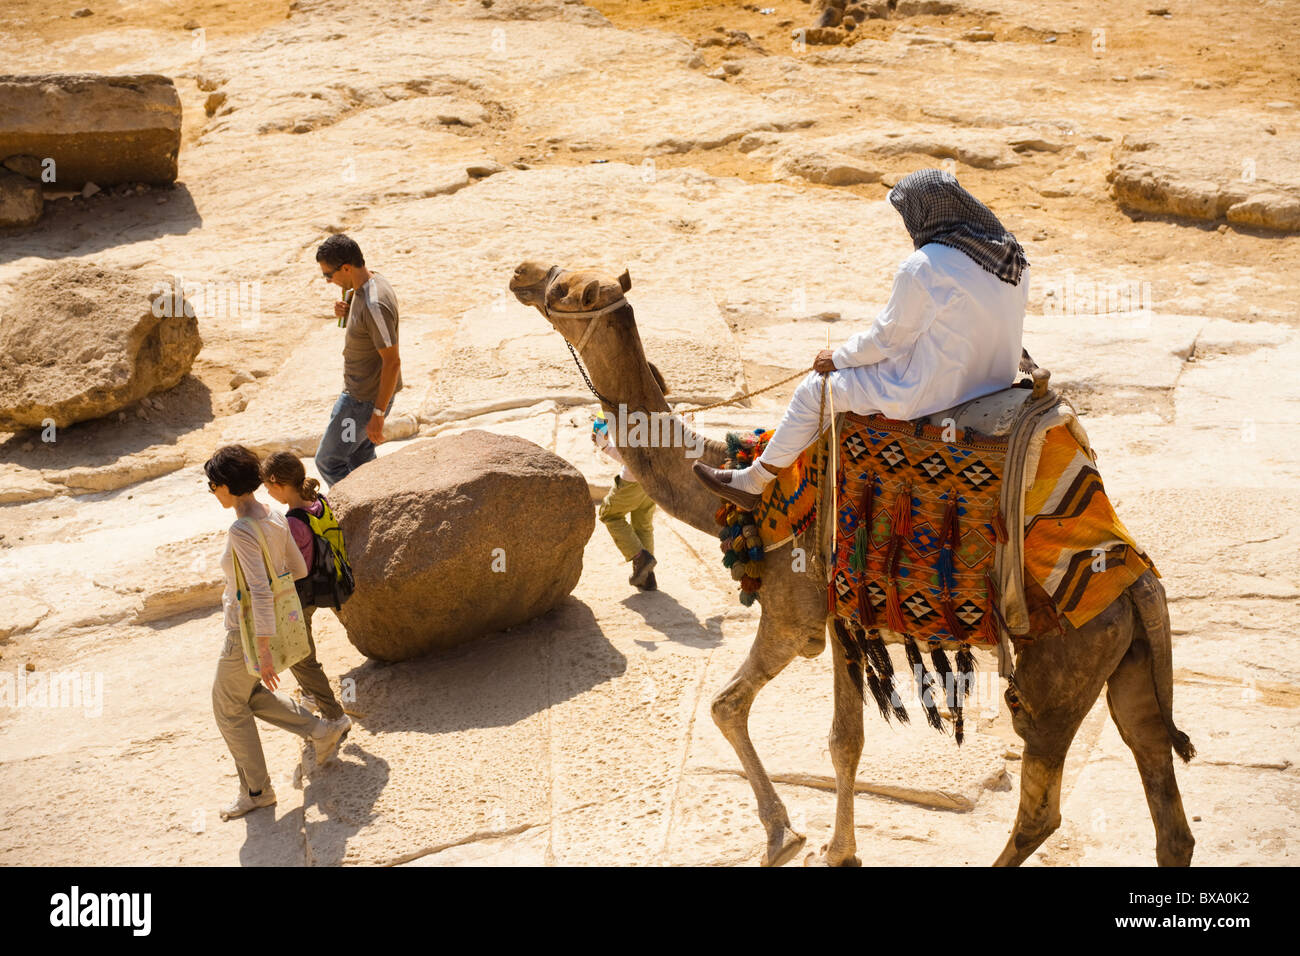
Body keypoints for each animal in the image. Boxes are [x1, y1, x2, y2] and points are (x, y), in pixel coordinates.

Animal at [509, 260, 1197, 867]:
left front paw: (802, 842)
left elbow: (770, 718)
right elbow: (811, 728)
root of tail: (1135, 583)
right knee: (1162, 795)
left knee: (1041, 807)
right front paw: (809, 839)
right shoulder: (837, 624)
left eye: (564, 287)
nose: (521, 272)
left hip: (1063, 666)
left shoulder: (800, 613)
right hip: (1128, 659)